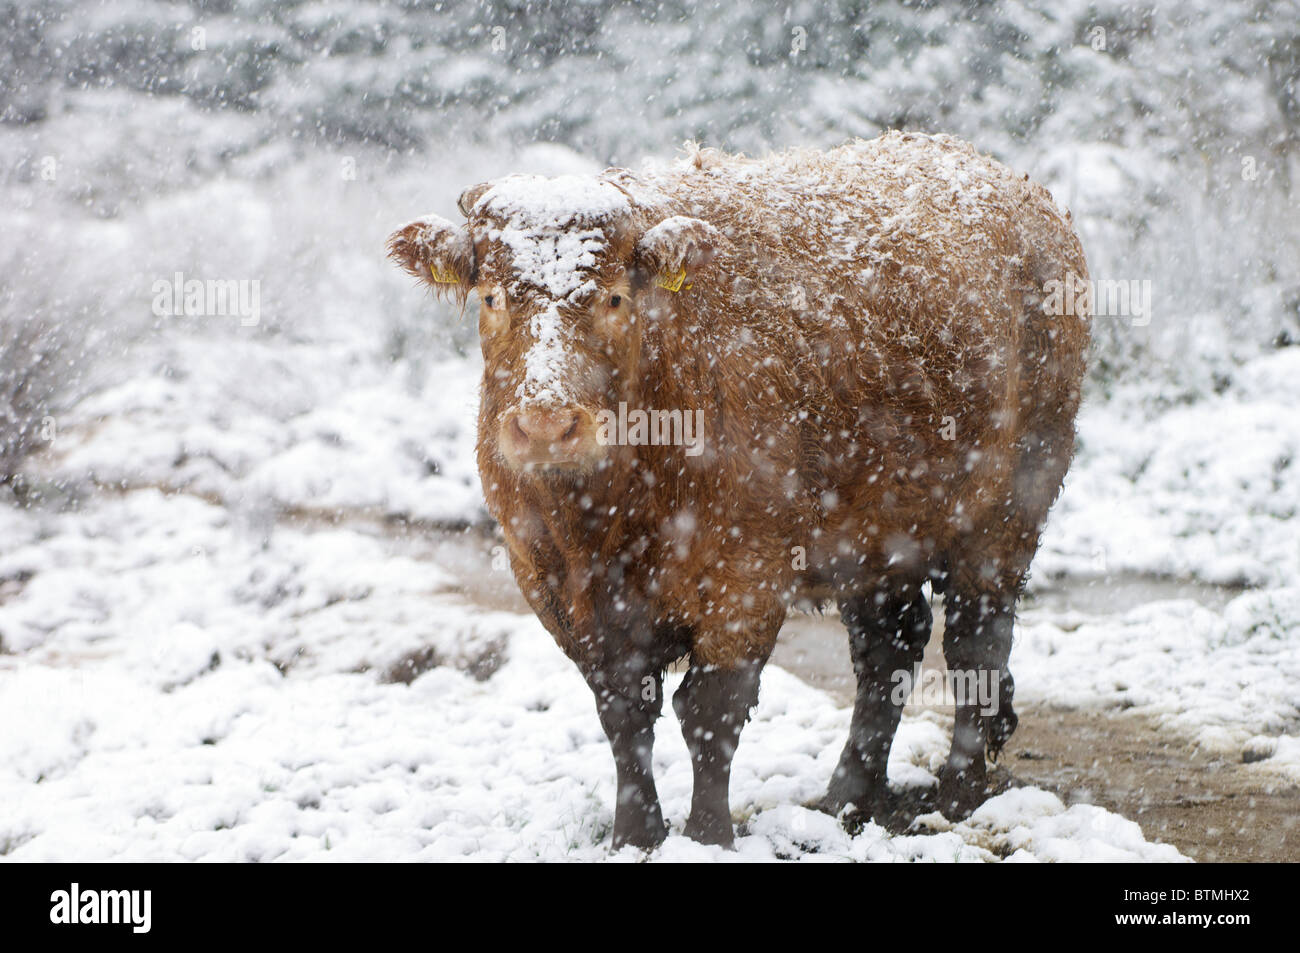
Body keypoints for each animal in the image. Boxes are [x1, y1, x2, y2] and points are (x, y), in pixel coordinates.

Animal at [387, 131, 1090, 849]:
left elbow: (710, 710)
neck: (606, 521)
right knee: (887, 647)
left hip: (1011, 508)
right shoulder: (552, 584)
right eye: (493, 297)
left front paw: (707, 834)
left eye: (614, 298)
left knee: (977, 639)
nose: (546, 425)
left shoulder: (745, 577)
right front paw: (636, 834)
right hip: (879, 533)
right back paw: (847, 795)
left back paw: (957, 791)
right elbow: (623, 713)